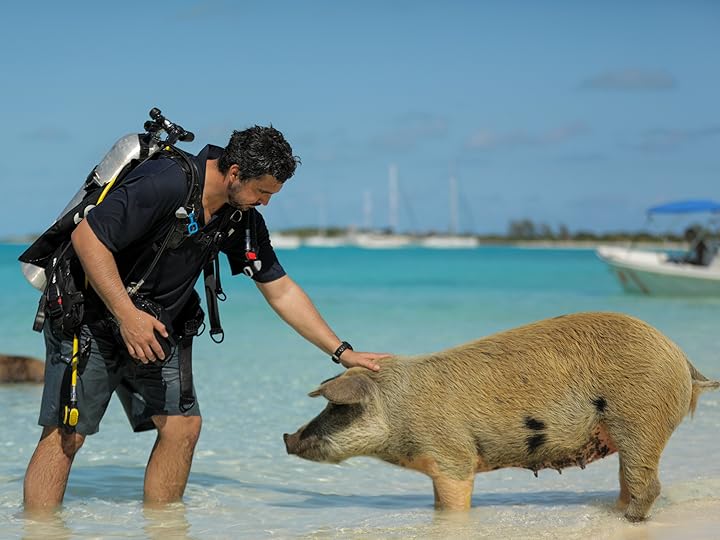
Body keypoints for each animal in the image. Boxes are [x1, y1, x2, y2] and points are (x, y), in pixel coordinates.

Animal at [284, 312, 720, 522]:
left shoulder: (452, 456)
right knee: (630, 481)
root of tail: (680, 357)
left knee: (648, 484)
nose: (287, 437)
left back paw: (629, 520)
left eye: (336, 407)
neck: (400, 409)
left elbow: (452, 505)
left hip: (641, 418)